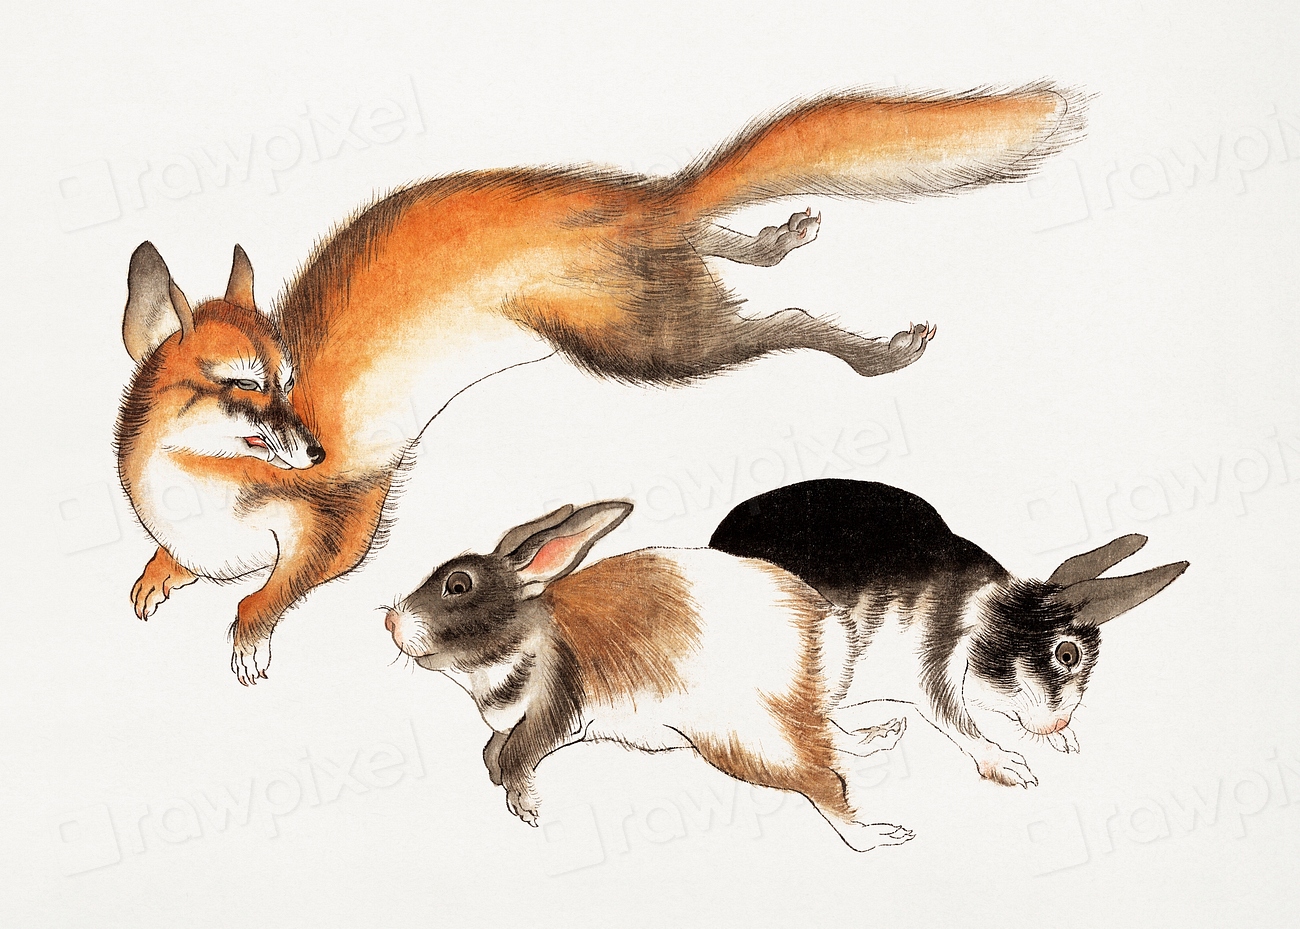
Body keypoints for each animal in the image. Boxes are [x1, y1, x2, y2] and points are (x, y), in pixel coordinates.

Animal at [115, 83, 1087, 684]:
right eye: (245, 384)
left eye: (285, 379)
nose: (315, 443)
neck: (204, 509)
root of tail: (637, 206)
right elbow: (182, 564)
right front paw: (154, 581)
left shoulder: (345, 511)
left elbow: (303, 570)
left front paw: (250, 630)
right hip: (655, 283)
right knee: (718, 242)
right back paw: (781, 237)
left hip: (638, 338)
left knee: (769, 323)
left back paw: (880, 351)